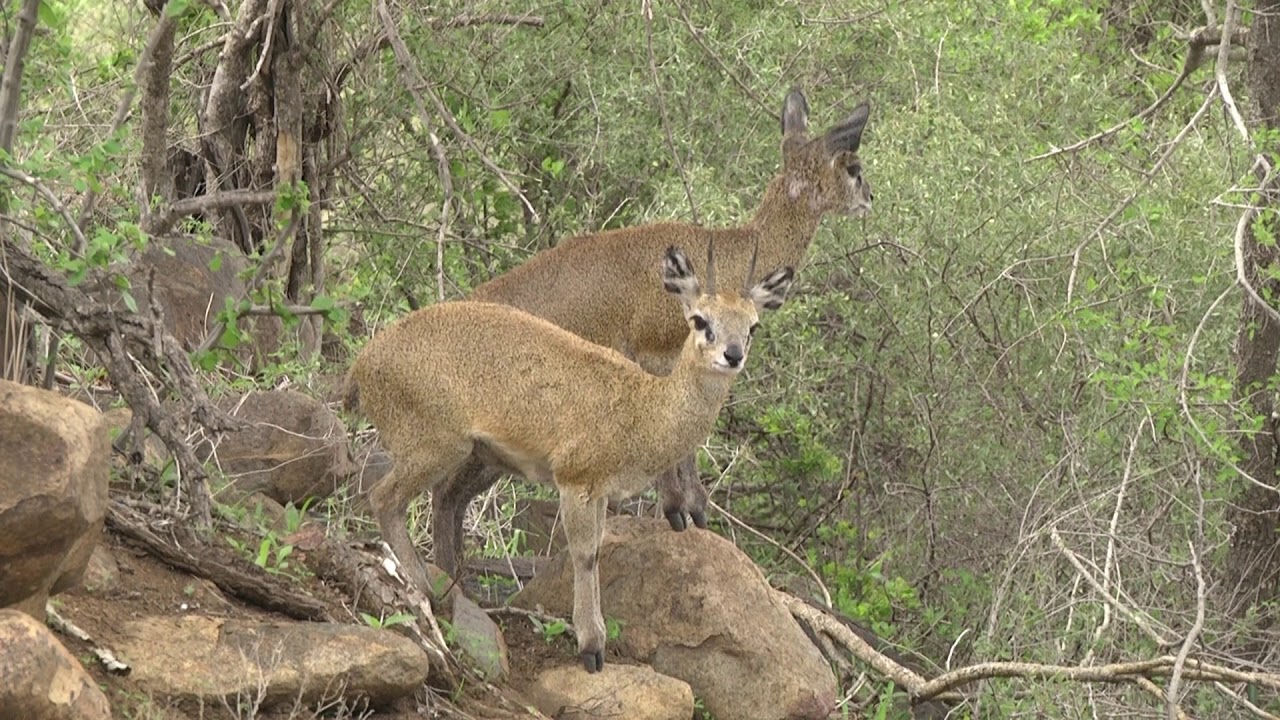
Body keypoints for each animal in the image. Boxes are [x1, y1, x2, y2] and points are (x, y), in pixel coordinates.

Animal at [348, 241, 794, 672]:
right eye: (700, 320)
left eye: (752, 324)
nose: (733, 354)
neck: (645, 409)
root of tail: (362, 364)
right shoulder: (575, 482)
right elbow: (584, 554)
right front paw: (591, 647)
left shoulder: (600, 492)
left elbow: (596, 550)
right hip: (438, 448)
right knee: (384, 498)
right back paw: (423, 586)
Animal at [426, 88, 873, 577]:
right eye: (853, 166)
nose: (870, 197)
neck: (733, 252)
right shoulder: (656, 353)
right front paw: (684, 509)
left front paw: (690, 511)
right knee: (442, 492)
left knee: (446, 495)